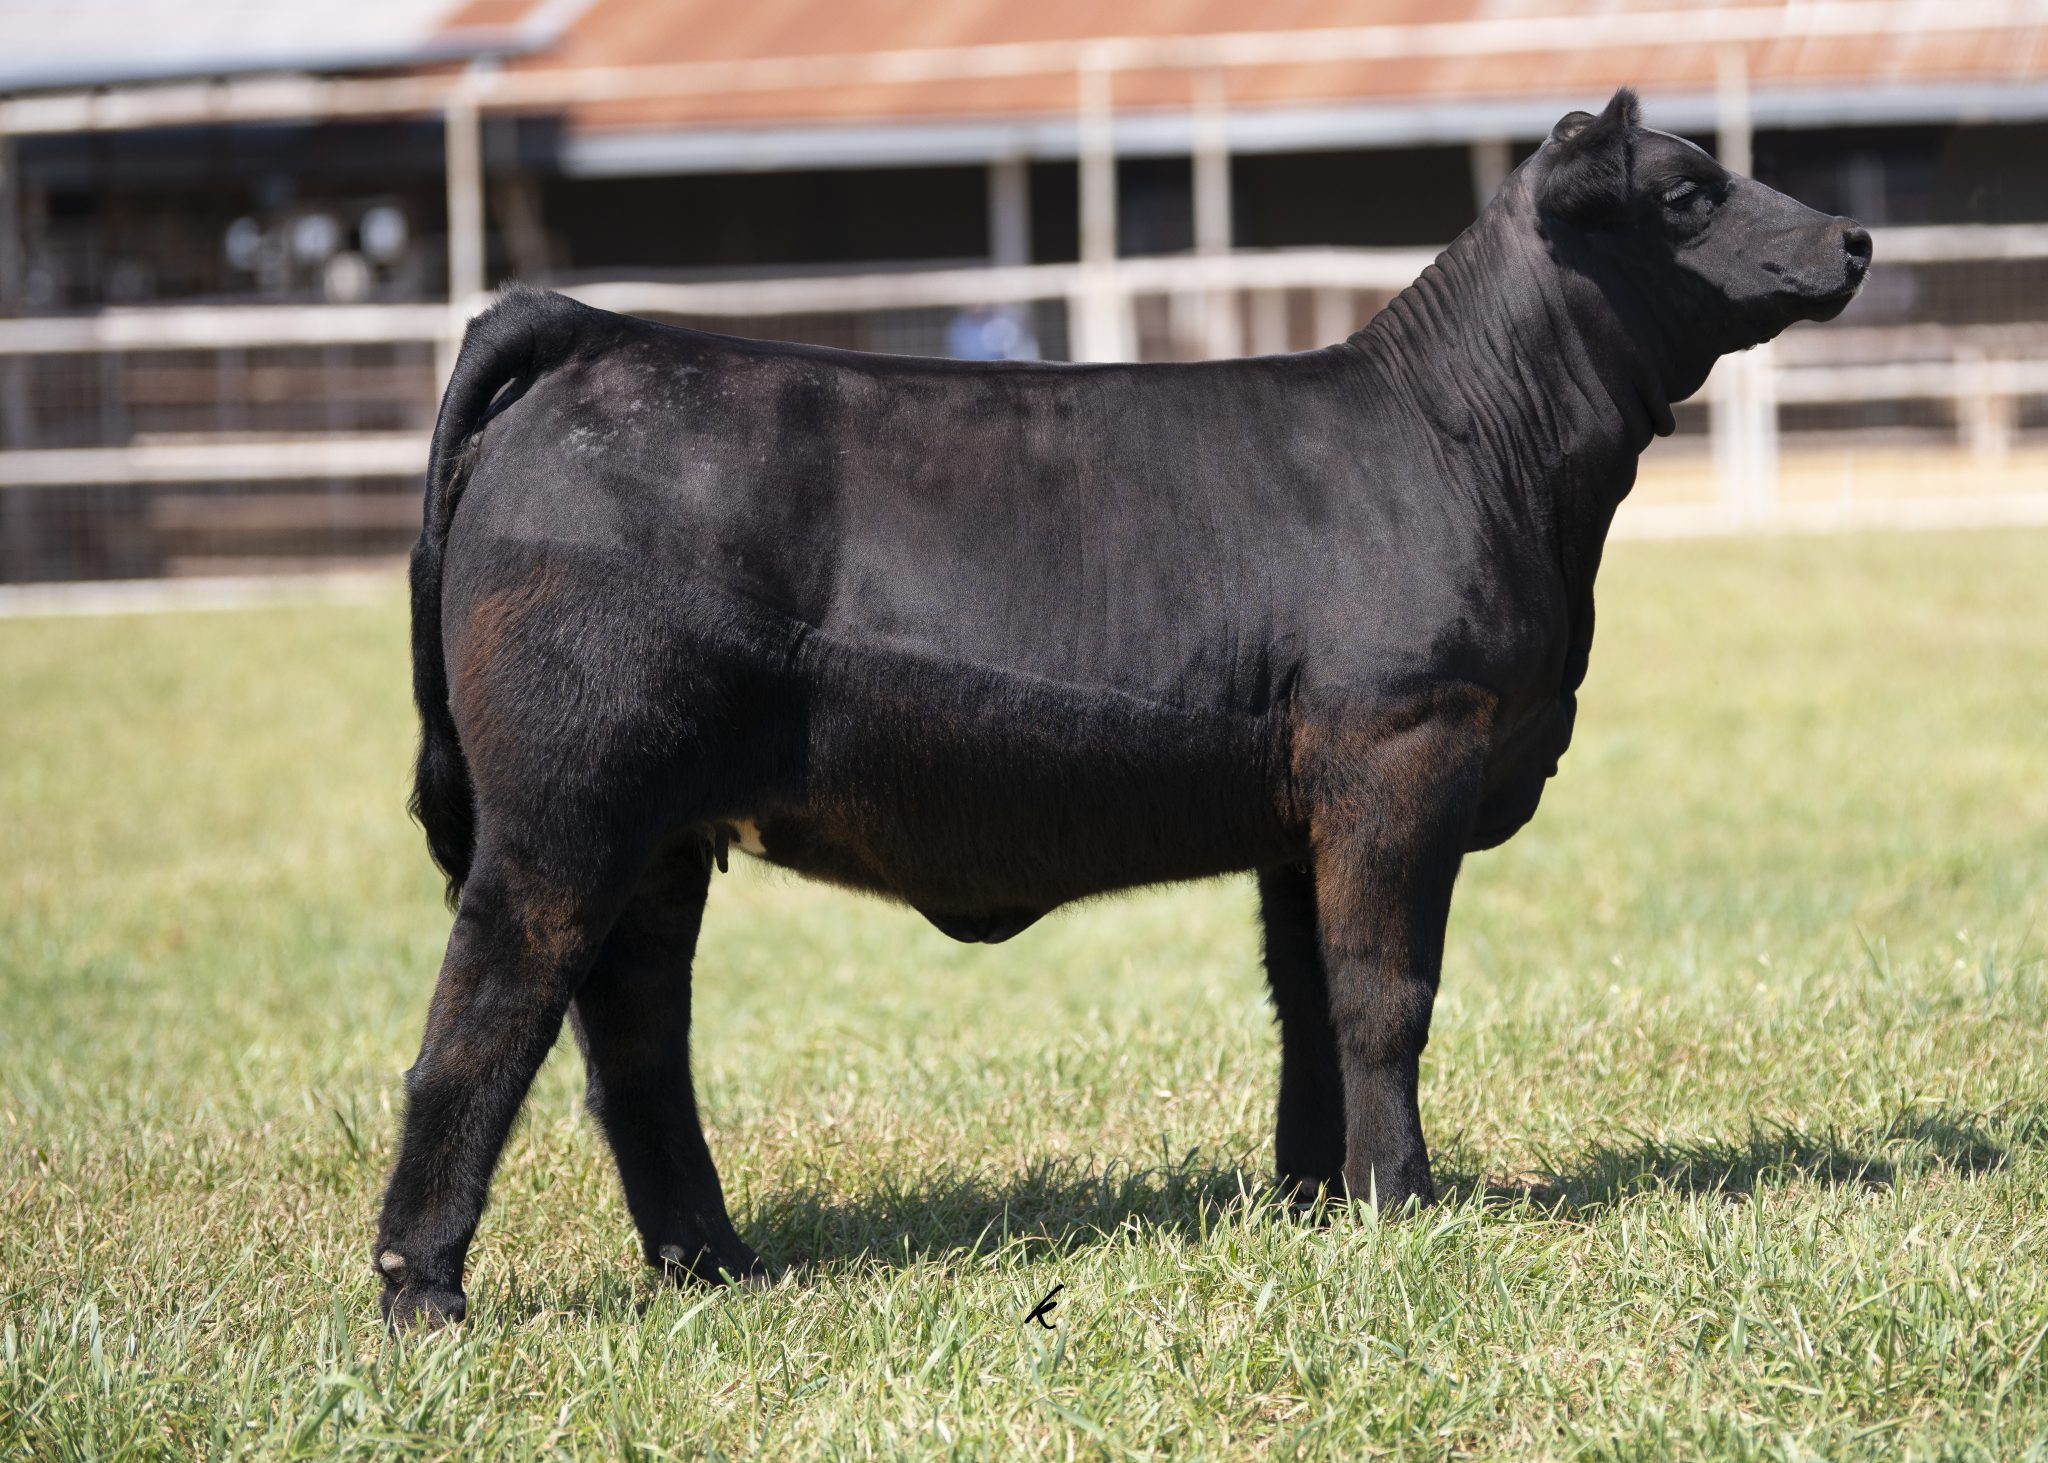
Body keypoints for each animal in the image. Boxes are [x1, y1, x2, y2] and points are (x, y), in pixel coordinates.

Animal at [371, 89, 1869, 1327]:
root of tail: (598, 334)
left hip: (660, 836)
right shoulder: (1403, 751)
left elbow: (1306, 998)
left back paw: (714, 1262)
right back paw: (424, 1291)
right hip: (566, 805)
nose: (1851, 237)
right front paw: (1402, 1199)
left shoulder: (1301, 804)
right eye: (1684, 193)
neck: (1473, 444)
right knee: (485, 1010)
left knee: (633, 1035)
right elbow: (1384, 991)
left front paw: (1311, 1196)